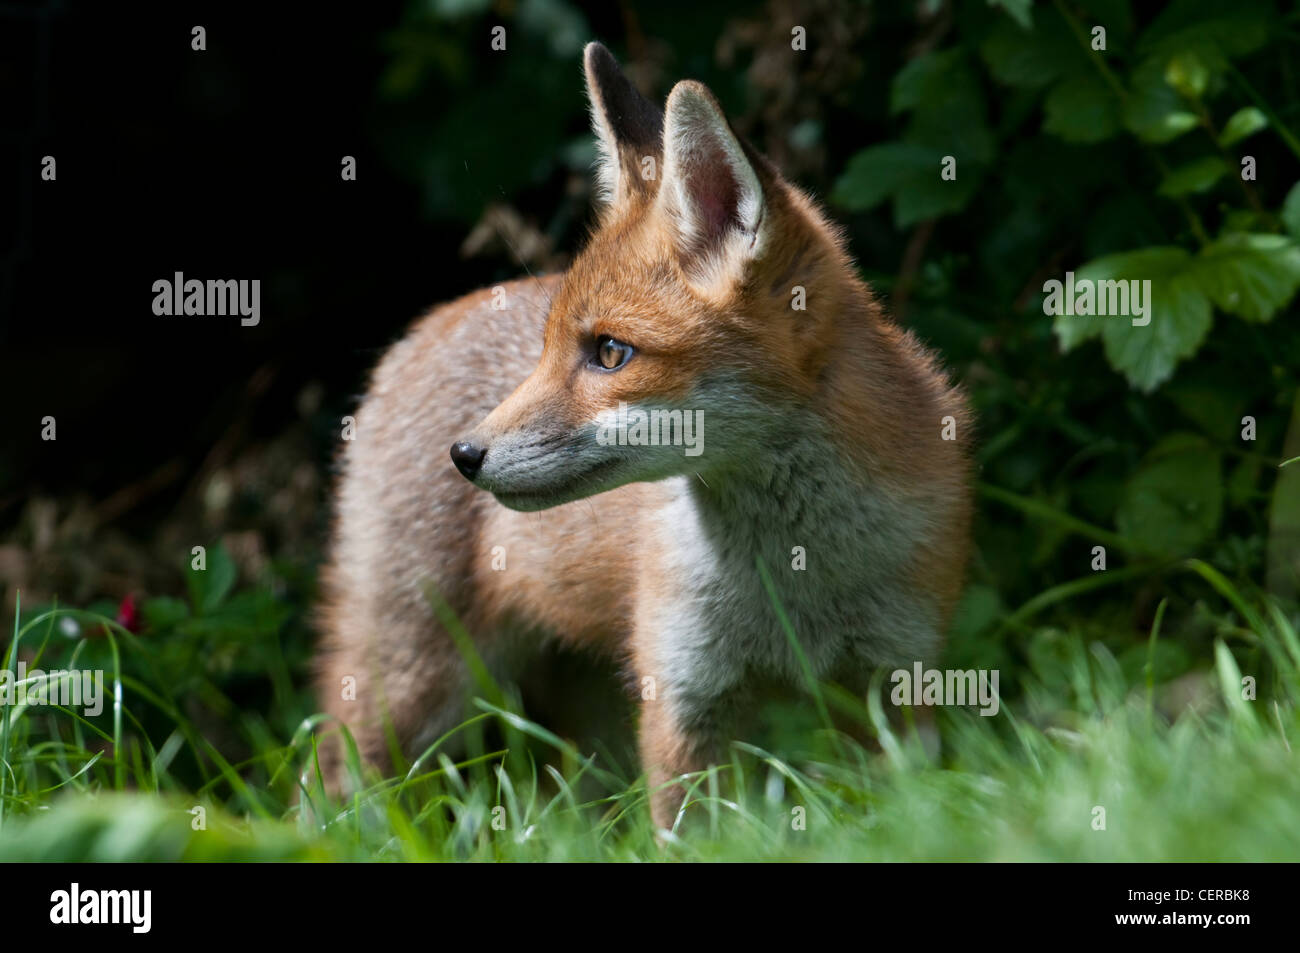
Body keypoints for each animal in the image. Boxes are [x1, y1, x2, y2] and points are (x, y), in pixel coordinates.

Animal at [314, 42, 973, 830]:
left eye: (610, 352)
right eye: (548, 349)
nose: (464, 455)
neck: (795, 578)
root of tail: (417, 330)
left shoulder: (894, 679)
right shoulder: (684, 696)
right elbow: (689, 830)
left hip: (581, 713)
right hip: (412, 683)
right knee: (338, 776)